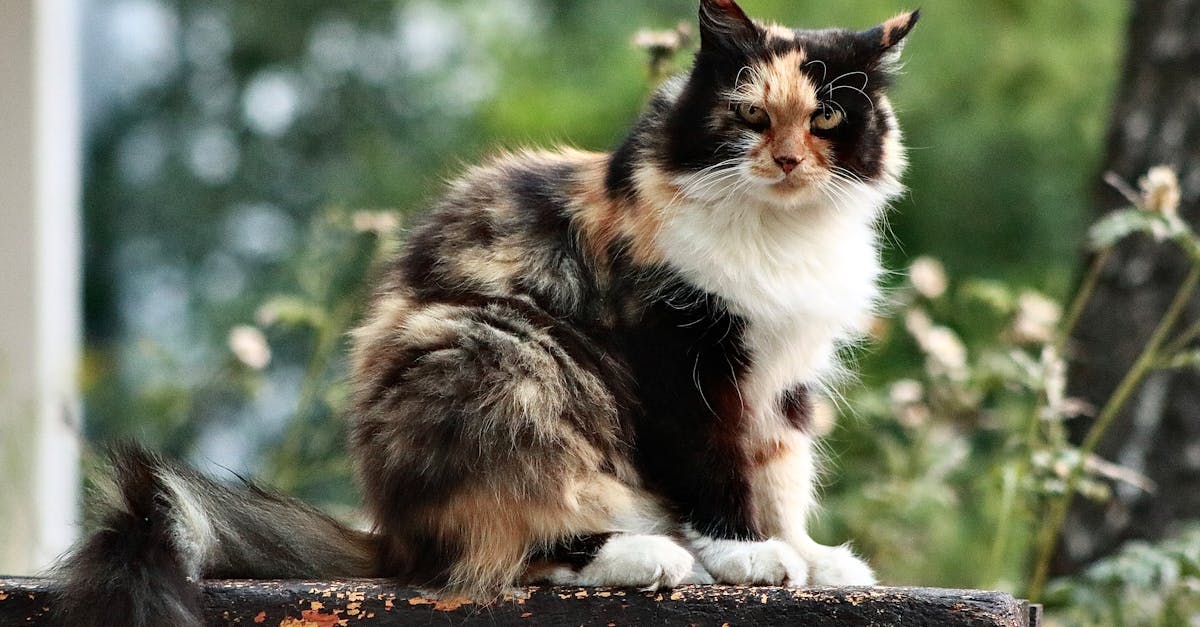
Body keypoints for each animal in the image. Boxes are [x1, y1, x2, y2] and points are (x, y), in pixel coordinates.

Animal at [54, 2, 916, 619]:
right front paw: (747, 557)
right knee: (493, 552)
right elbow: (715, 466)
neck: (782, 236)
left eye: (828, 117)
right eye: (750, 115)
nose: (787, 161)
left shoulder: (784, 378)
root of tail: (389, 535)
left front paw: (811, 557)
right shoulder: (682, 358)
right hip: (509, 351)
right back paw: (653, 555)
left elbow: (780, 473)